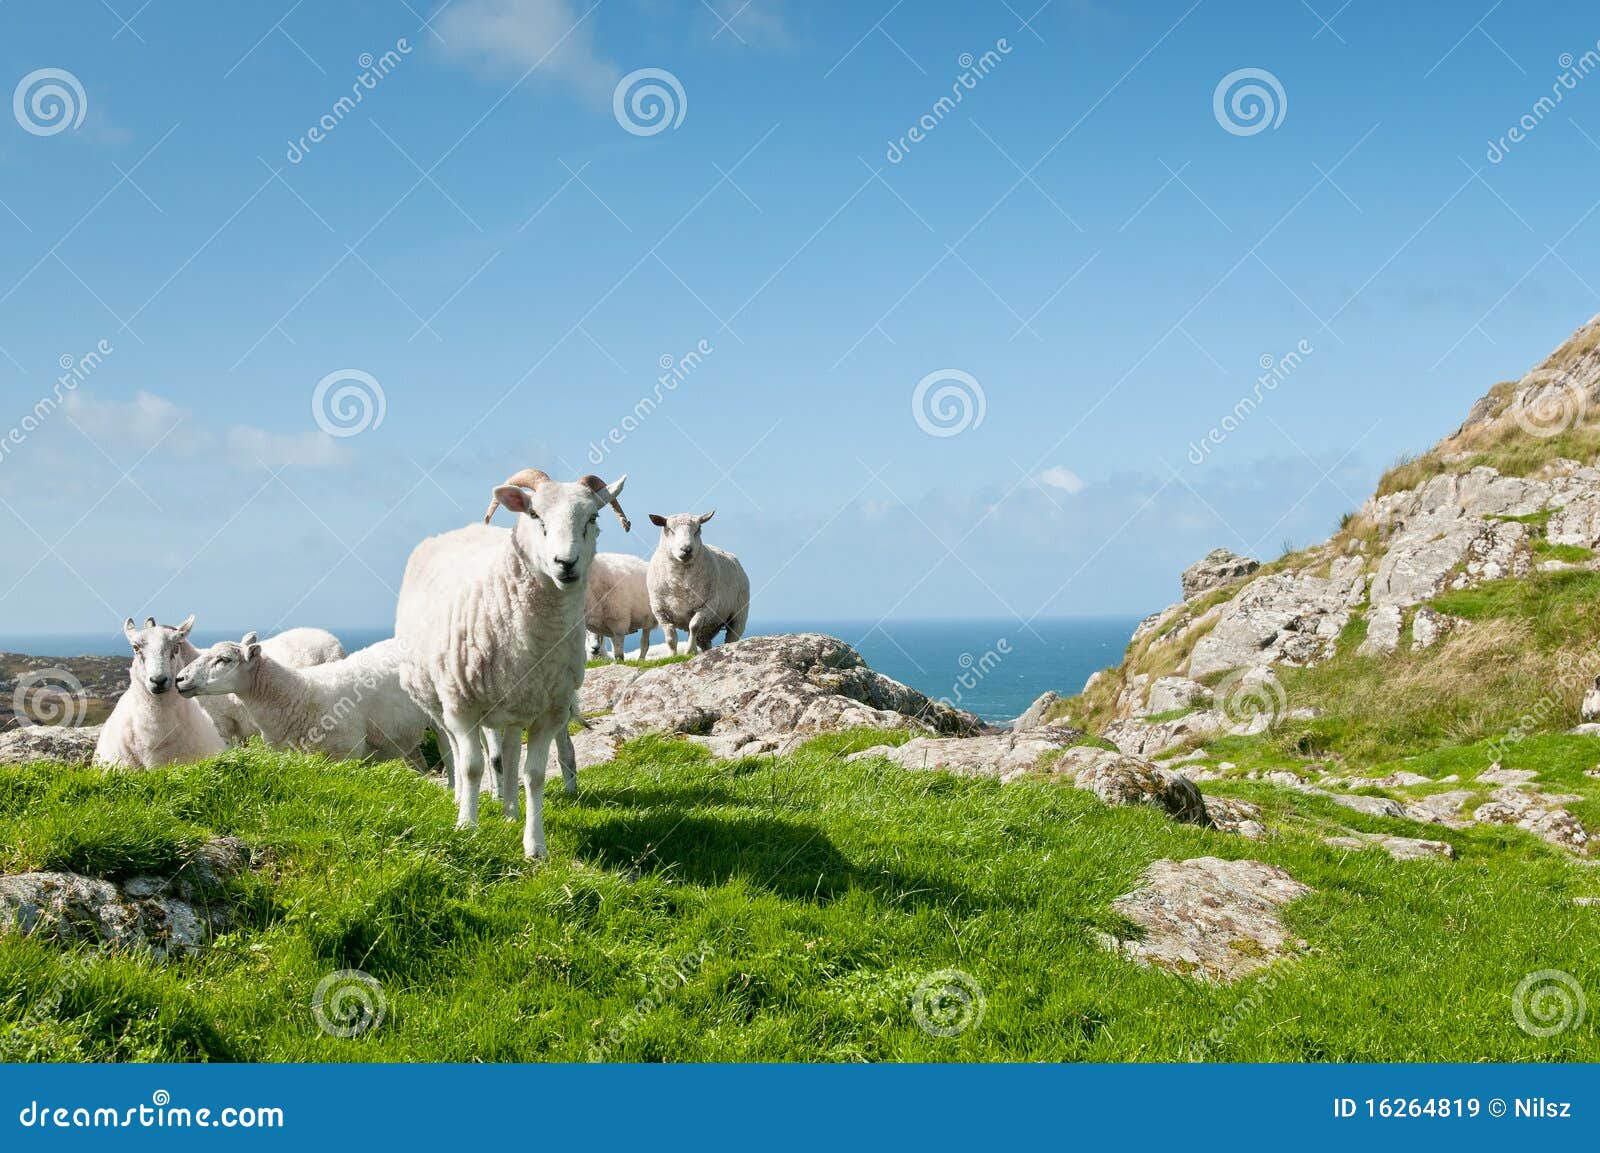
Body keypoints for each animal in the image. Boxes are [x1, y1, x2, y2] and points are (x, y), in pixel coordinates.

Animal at [395, 467, 628, 857]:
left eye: (593, 517)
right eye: (534, 515)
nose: (565, 564)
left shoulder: (550, 711)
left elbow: (533, 774)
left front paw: (535, 845)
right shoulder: (462, 705)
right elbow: (472, 766)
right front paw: (467, 826)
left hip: (515, 704)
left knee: (508, 755)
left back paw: (509, 810)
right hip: (438, 702)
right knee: (456, 751)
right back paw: (461, 798)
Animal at [646, 510, 750, 655]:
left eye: (698, 529)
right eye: (670, 529)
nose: (687, 549)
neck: (679, 582)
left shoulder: (707, 605)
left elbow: (693, 626)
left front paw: (690, 651)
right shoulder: (659, 609)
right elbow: (670, 635)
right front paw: (672, 655)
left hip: (738, 615)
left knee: (732, 636)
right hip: (710, 626)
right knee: (704, 641)